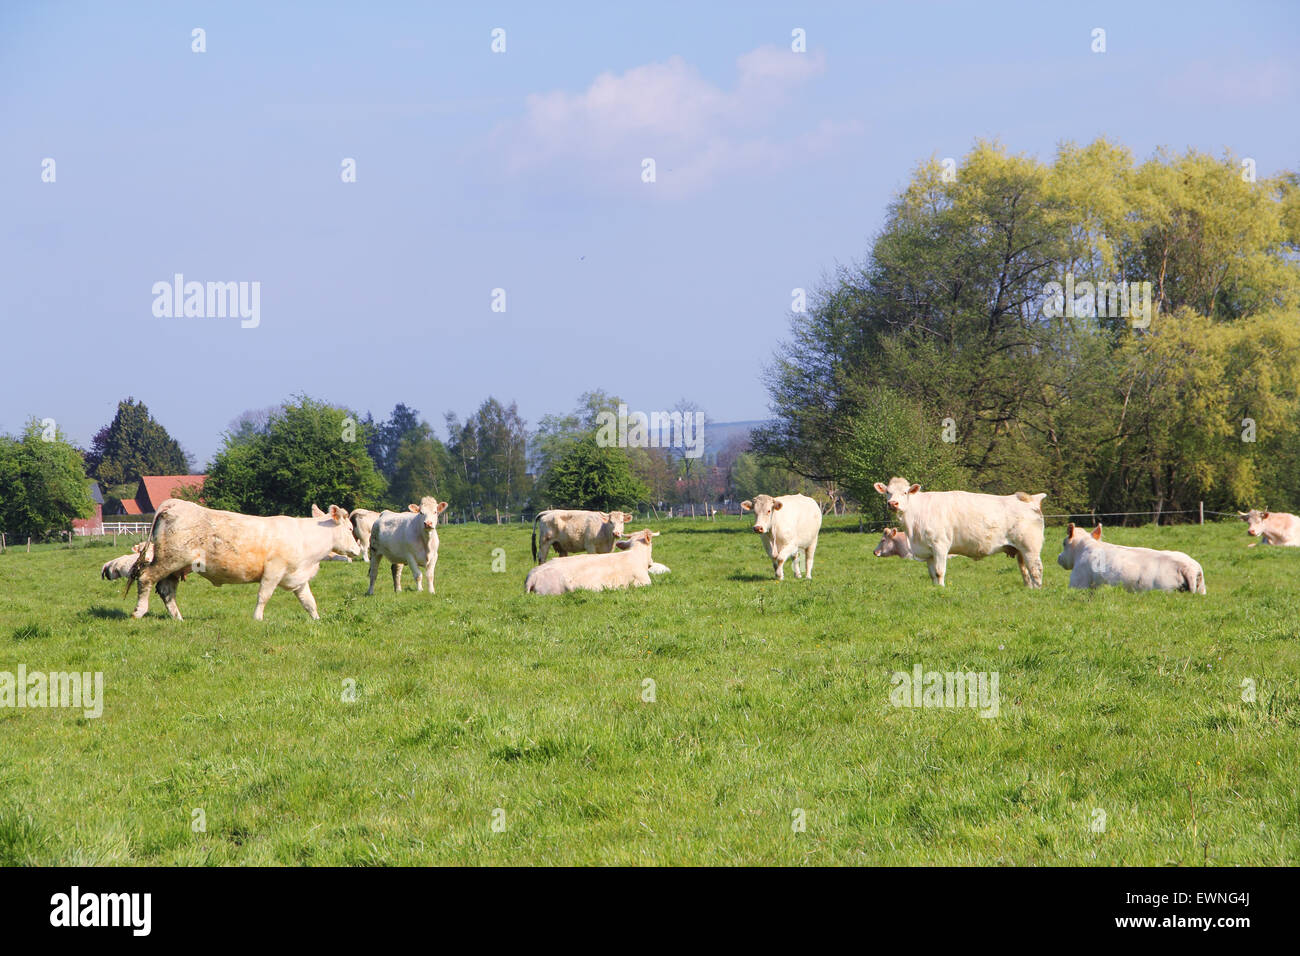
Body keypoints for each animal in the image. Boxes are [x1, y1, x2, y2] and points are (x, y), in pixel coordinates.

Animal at [126, 498, 361, 620]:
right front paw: (257, 618)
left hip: (177, 566)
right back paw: (139, 611)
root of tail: (176, 503)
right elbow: (263, 596)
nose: (358, 550)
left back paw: (178, 618)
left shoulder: (298, 578)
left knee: (166, 590)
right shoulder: (273, 571)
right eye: (350, 529)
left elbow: (309, 602)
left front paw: (317, 620)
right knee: (146, 578)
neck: (304, 539)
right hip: (169, 559)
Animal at [874, 477, 1046, 587]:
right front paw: (935, 589)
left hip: (1030, 548)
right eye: (888, 492)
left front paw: (942, 589)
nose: (893, 503)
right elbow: (932, 574)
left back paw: (1037, 591)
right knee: (1025, 572)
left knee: (1036, 571)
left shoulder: (940, 546)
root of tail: (1030, 498)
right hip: (1020, 551)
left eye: (905, 492)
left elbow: (939, 572)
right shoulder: (928, 552)